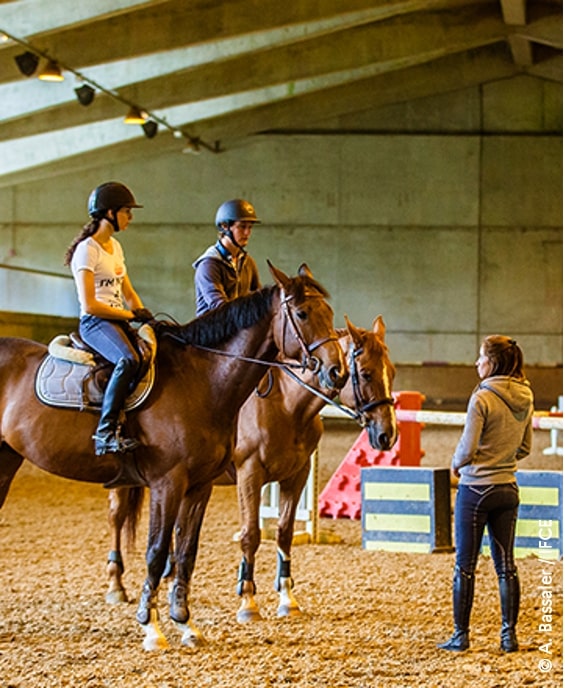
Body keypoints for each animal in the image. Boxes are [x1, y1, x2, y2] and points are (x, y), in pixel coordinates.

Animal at [0, 262, 347, 650]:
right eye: (302, 313)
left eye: (329, 313)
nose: (337, 371)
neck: (202, 380)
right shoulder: (170, 483)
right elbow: (157, 552)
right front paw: (151, 628)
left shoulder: (200, 486)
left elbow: (185, 552)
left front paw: (184, 623)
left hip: (6, 459)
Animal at [104, 314, 397, 625]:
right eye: (365, 373)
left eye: (391, 373)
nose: (387, 436)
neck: (287, 404)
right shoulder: (250, 473)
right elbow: (250, 535)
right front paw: (247, 601)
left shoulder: (297, 476)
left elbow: (284, 533)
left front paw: (287, 599)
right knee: (117, 516)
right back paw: (116, 585)